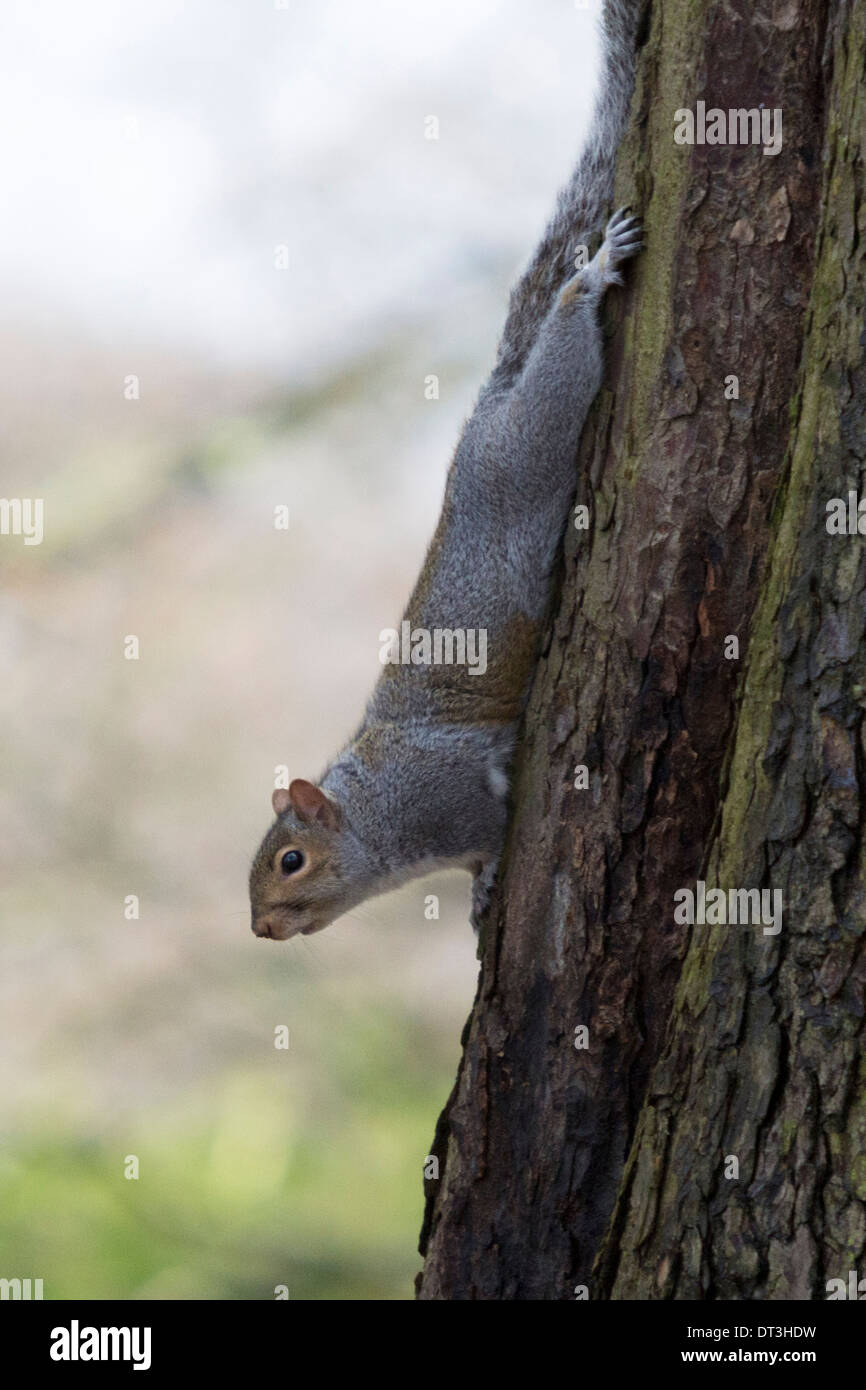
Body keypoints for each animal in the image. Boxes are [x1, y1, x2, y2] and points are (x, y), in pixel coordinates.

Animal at [250, 0, 644, 942]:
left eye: (291, 861)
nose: (260, 929)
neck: (376, 816)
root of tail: (478, 423)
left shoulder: (452, 797)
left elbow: (491, 832)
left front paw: (491, 880)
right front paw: (471, 899)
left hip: (530, 444)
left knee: (561, 360)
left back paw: (589, 277)